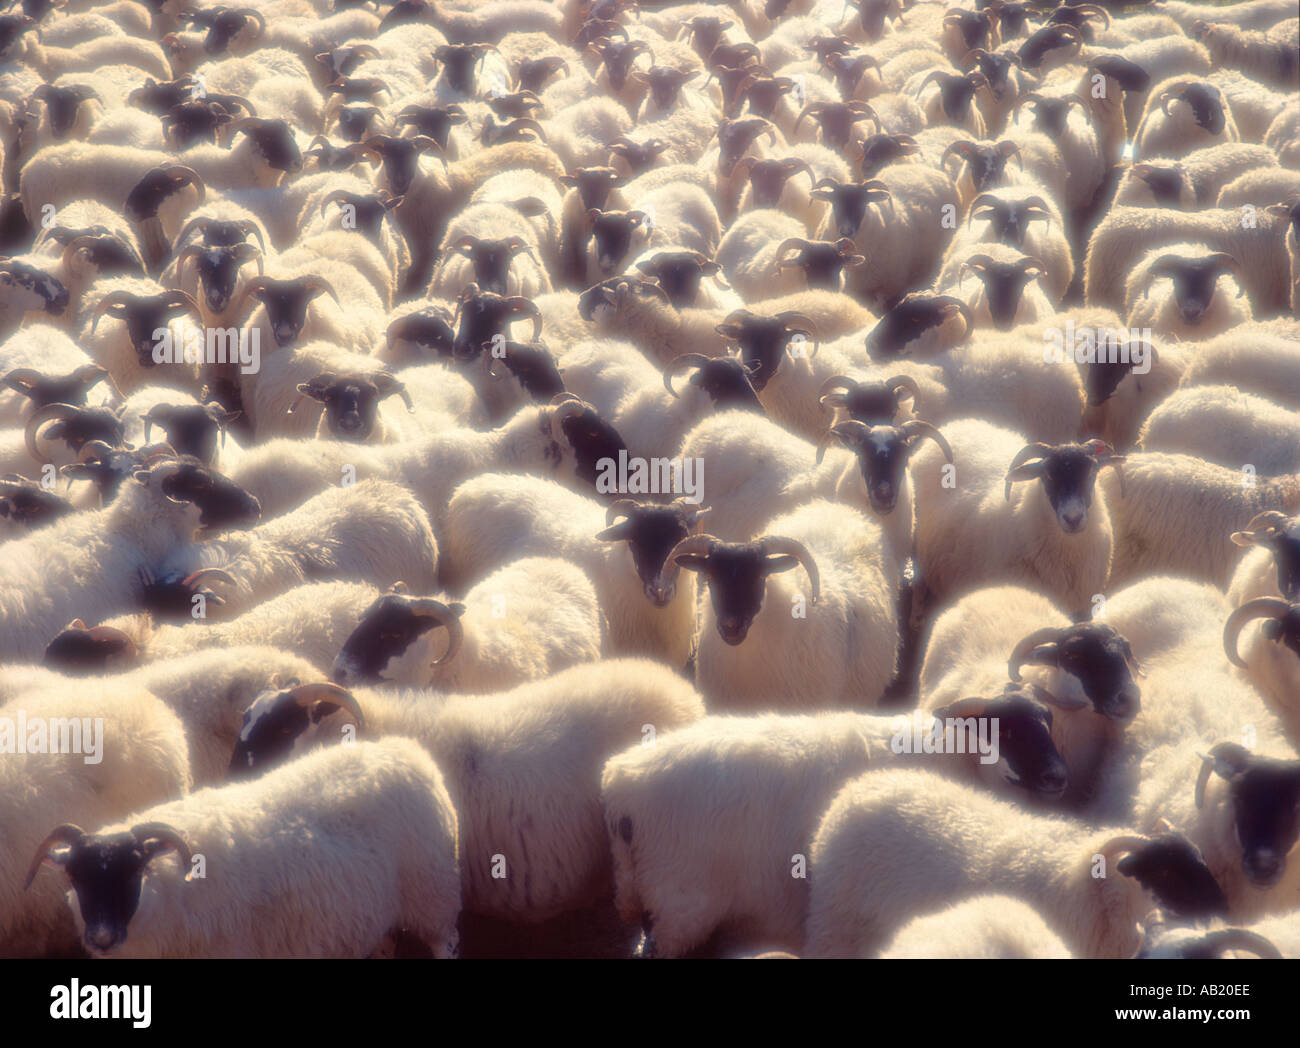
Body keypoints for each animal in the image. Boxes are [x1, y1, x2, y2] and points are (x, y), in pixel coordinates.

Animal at [27, 737, 461, 958]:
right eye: (75, 877)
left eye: (134, 871)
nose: (101, 938)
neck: (164, 896)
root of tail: (407, 751)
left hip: (434, 895)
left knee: (446, 942)